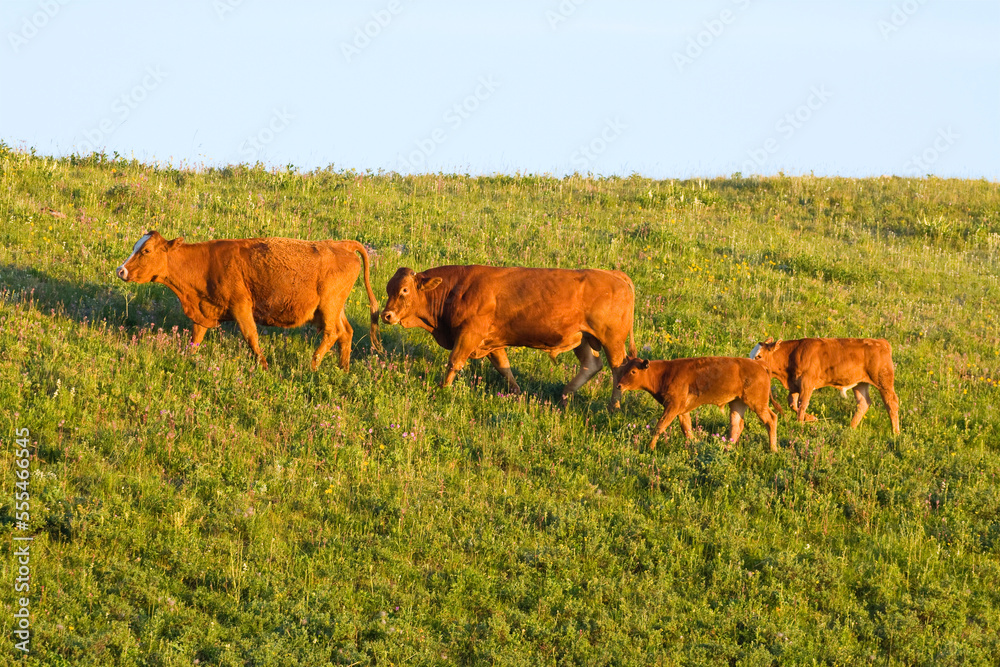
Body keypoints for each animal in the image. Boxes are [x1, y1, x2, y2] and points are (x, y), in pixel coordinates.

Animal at [116, 231, 381, 370]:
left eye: (146, 250)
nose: (121, 270)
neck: (205, 263)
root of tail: (341, 244)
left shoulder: (241, 306)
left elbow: (251, 337)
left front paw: (264, 366)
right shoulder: (204, 309)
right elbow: (196, 338)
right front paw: (188, 357)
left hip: (328, 306)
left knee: (332, 333)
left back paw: (312, 366)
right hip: (335, 308)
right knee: (345, 333)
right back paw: (343, 369)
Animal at [380, 265, 636, 408]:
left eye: (404, 290)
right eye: (388, 289)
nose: (386, 315)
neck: (456, 289)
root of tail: (614, 274)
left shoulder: (469, 334)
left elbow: (454, 362)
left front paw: (442, 389)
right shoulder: (492, 342)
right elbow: (504, 367)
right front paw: (516, 392)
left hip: (612, 341)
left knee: (618, 369)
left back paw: (613, 406)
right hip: (582, 339)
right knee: (591, 365)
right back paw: (565, 395)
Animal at [616, 356, 779, 451]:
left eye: (633, 371)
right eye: (624, 368)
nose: (619, 385)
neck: (664, 373)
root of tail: (759, 364)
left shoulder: (672, 407)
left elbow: (660, 427)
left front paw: (649, 447)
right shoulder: (681, 410)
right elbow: (687, 429)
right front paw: (696, 444)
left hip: (757, 404)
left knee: (771, 419)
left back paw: (773, 449)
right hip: (737, 403)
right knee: (736, 425)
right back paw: (727, 448)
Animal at [749, 337, 900, 434]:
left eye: (759, 356)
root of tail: (881, 342)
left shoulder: (807, 383)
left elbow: (802, 404)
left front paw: (800, 424)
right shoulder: (795, 384)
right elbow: (792, 403)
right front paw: (810, 418)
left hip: (883, 381)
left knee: (891, 402)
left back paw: (895, 432)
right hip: (860, 384)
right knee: (863, 403)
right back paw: (850, 428)